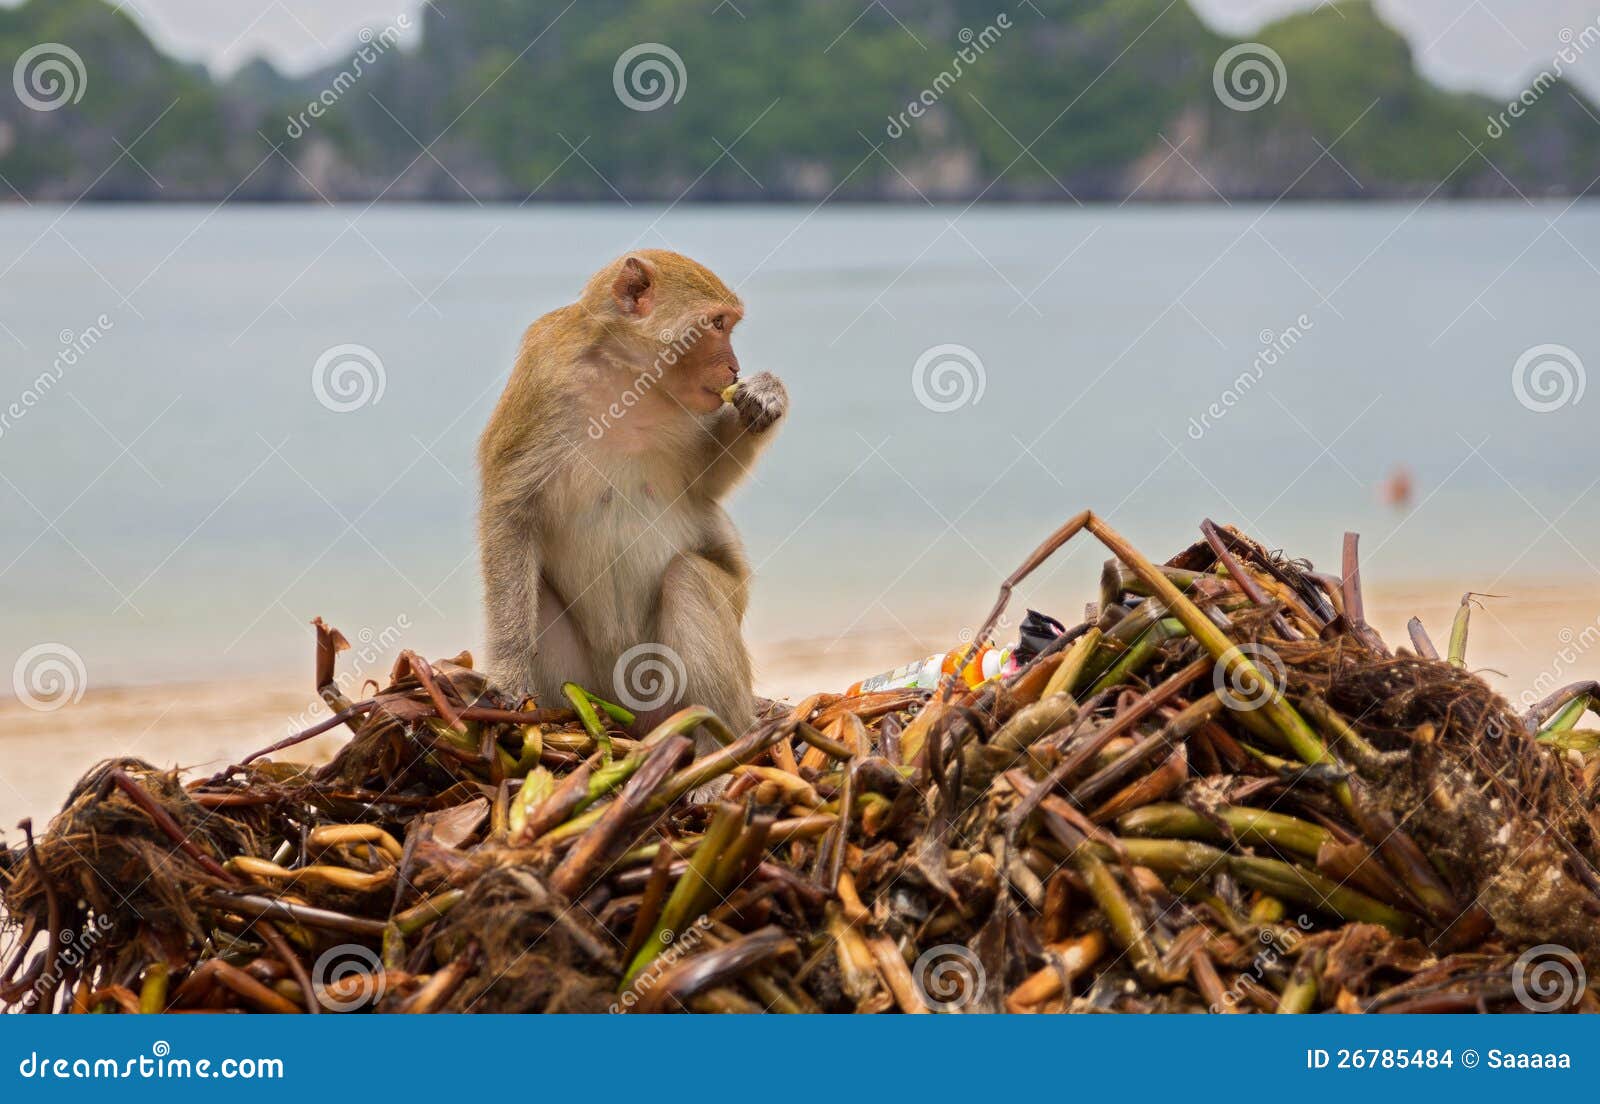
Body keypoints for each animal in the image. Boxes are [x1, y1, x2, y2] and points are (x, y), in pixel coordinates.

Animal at [477, 250, 786, 747]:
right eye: (717, 323)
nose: (735, 369)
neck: (629, 375)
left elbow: (706, 484)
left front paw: (764, 395)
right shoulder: (544, 375)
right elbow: (509, 508)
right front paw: (507, 674)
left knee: (688, 579)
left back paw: (717, 747)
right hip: (587, 686)